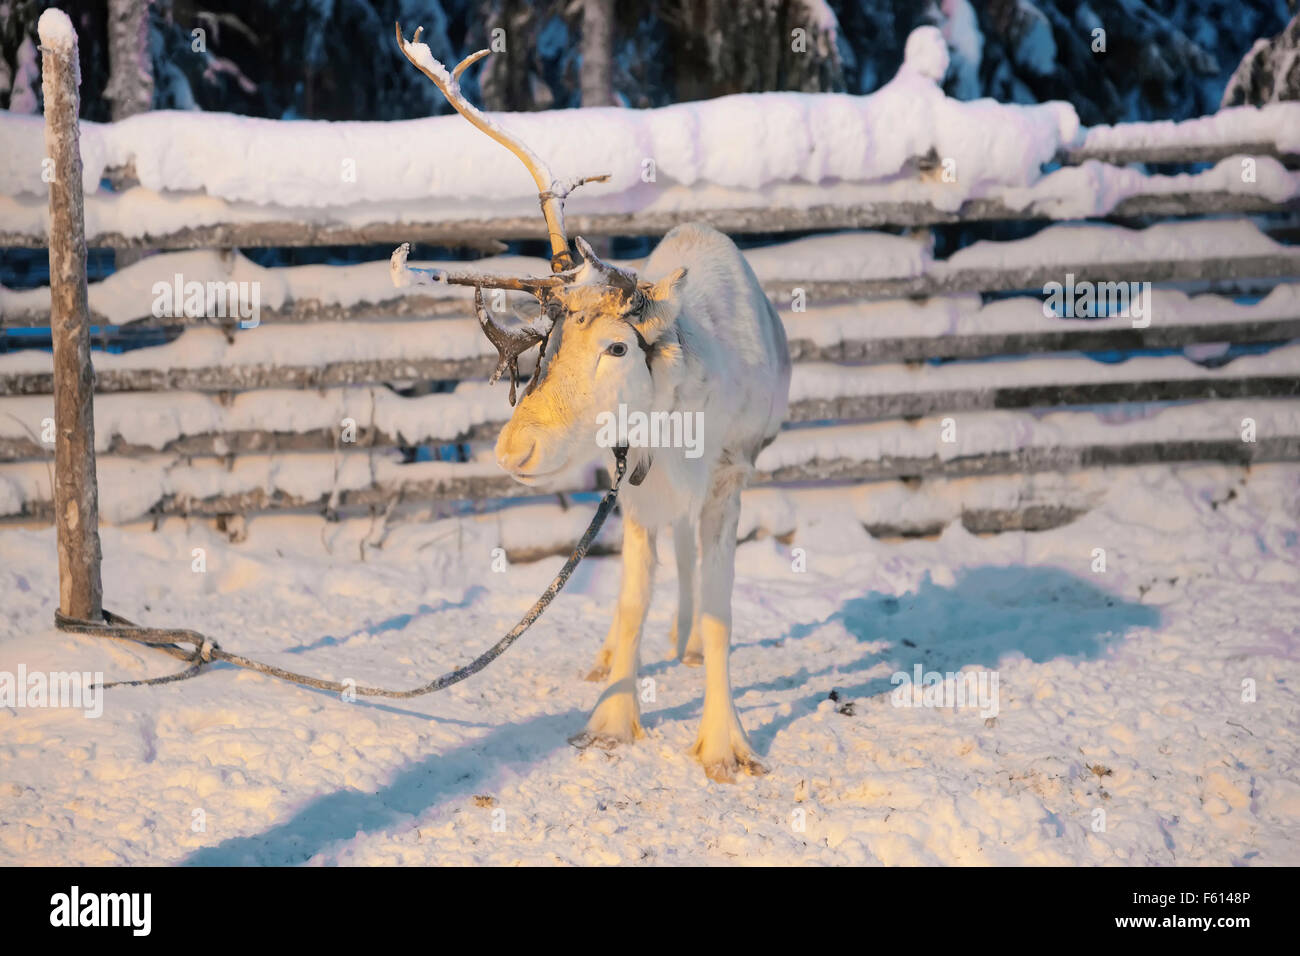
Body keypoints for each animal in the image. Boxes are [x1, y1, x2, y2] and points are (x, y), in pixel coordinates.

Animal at [390, 25, 791, 782]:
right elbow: (632, 599)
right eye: (547, 344)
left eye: (616, 347)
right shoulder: (632, 483)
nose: (514, 448)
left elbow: (721, 611)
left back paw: (685, 645)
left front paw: (723, 744)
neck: (677, 424)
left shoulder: (729, 475)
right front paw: (612, 719)